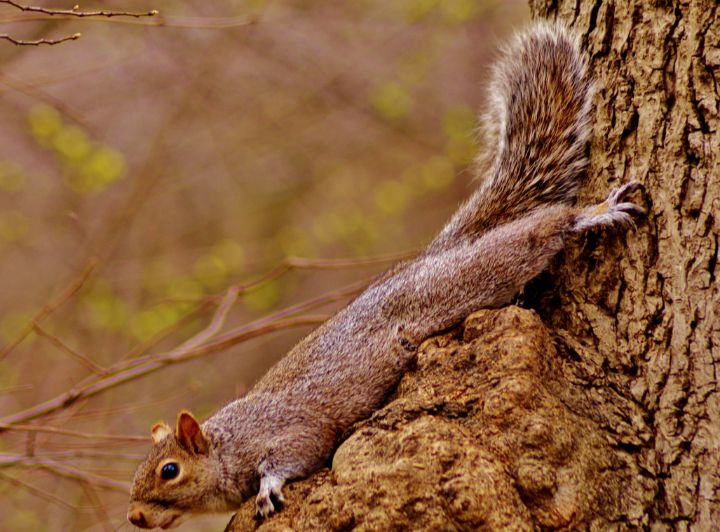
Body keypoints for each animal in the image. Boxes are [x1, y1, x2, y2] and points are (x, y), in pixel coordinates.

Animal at [127, 22, 644, 530]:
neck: (229, 443)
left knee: (534, 235)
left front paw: (269, 487)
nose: (134, 516)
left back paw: (593, 214)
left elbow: (297, 453)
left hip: (470, 277)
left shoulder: (289, 432)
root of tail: (433, 256)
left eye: (169, 470)